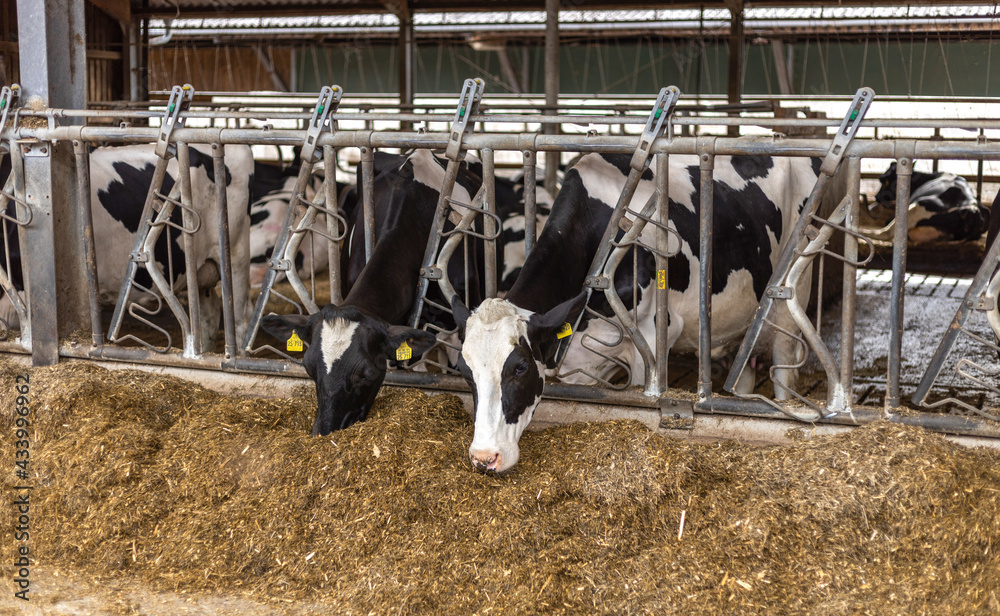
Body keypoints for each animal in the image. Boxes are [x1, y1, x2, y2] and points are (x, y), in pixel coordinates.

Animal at [451, 152, 830, 473]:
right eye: (465, 372)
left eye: (519, 367)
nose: (484, 457)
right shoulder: (578, 362)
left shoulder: (653, 335)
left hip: (791, 295)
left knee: (783, 373)